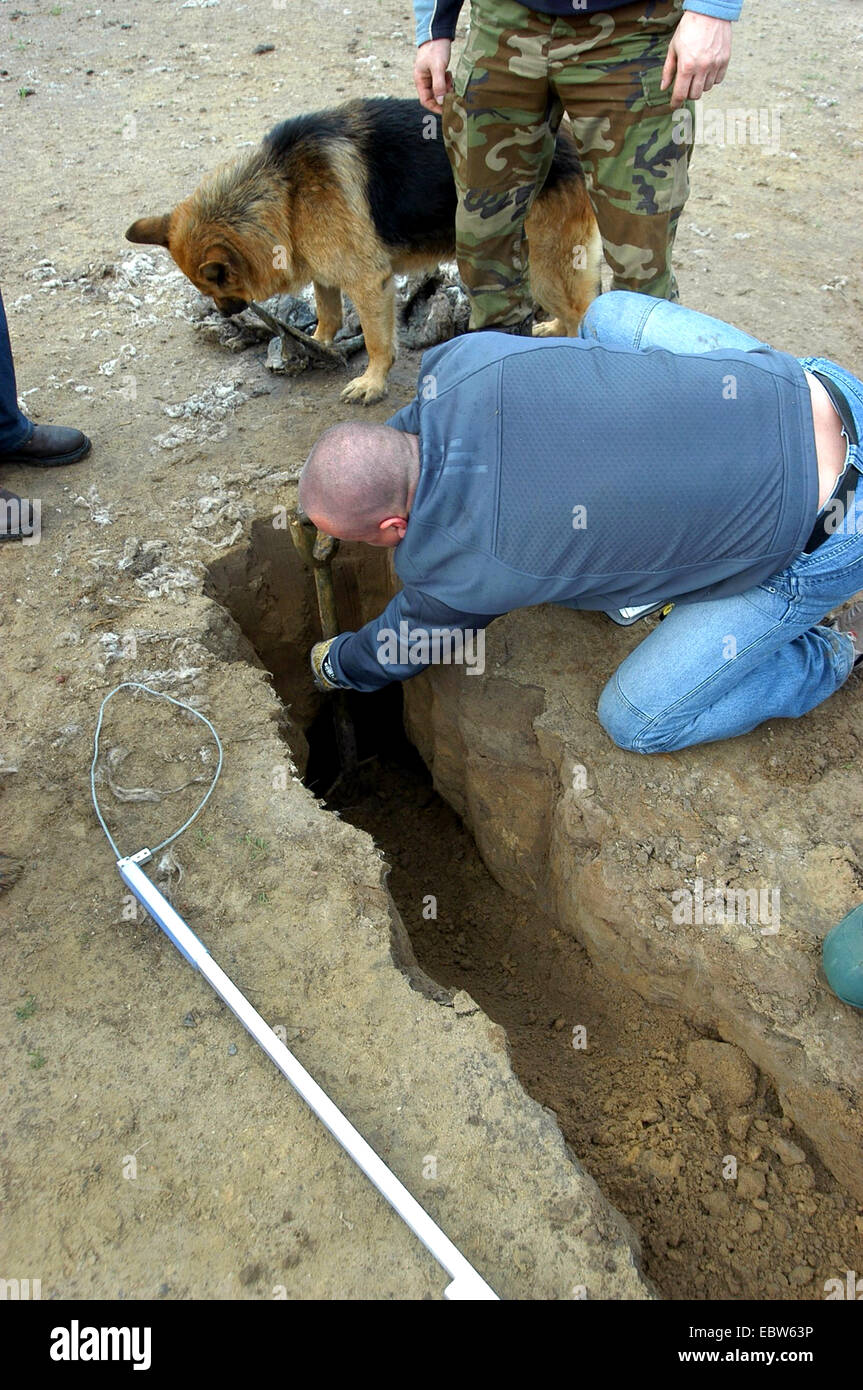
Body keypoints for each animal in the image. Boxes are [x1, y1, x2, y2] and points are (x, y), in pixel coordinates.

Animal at [127, 94, 600, 403]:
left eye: (216, 288)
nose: (226, 314)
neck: (283, 191)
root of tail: (569, 142)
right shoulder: (324, 269)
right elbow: (327, 311)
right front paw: (315, 341)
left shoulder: (370, 282)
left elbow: (376, 340)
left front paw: (372, 382)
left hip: (540, 267)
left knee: (582, 310)